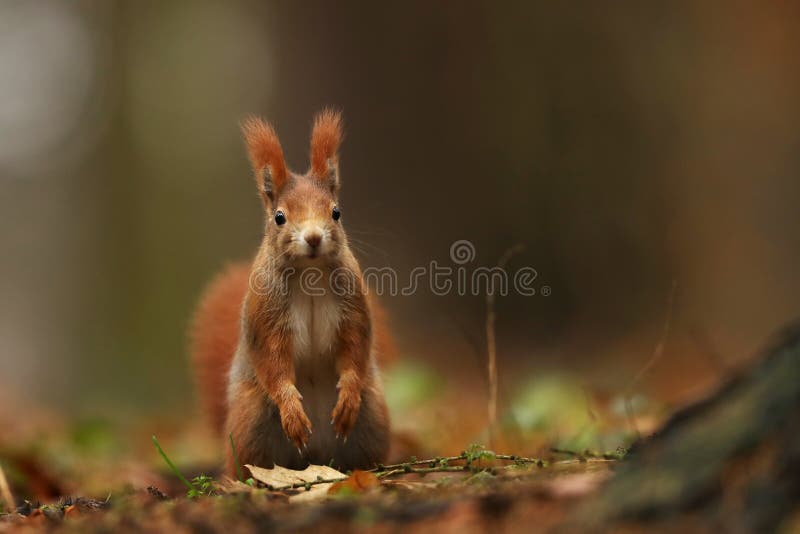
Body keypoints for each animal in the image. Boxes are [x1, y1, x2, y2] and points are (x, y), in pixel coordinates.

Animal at [189, 110, 393, 476]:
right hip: (251, 423)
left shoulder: (353, 305)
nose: (312, 237)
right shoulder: (266, 315)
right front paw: (292, 412)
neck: (309, 272)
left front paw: (347, 396)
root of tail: (315, 457)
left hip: (373, 419)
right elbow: (273, 363)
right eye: (279, 217)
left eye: (336, 212)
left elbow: (355, 347)